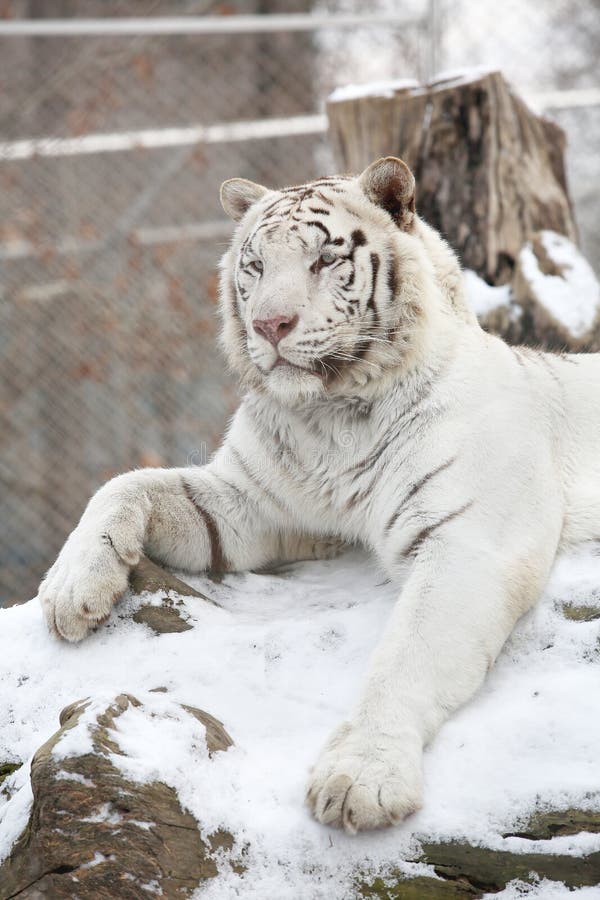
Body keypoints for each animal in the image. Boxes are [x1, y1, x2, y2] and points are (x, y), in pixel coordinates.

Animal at [38, 157, 600, 833]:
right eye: (255, 265)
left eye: (326, 259)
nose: (269, 325)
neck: (331, 417)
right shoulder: (249, 502)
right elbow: (125, 482)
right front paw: (71, 591)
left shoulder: (472, 540)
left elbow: (406, 656)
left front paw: (362, 778)